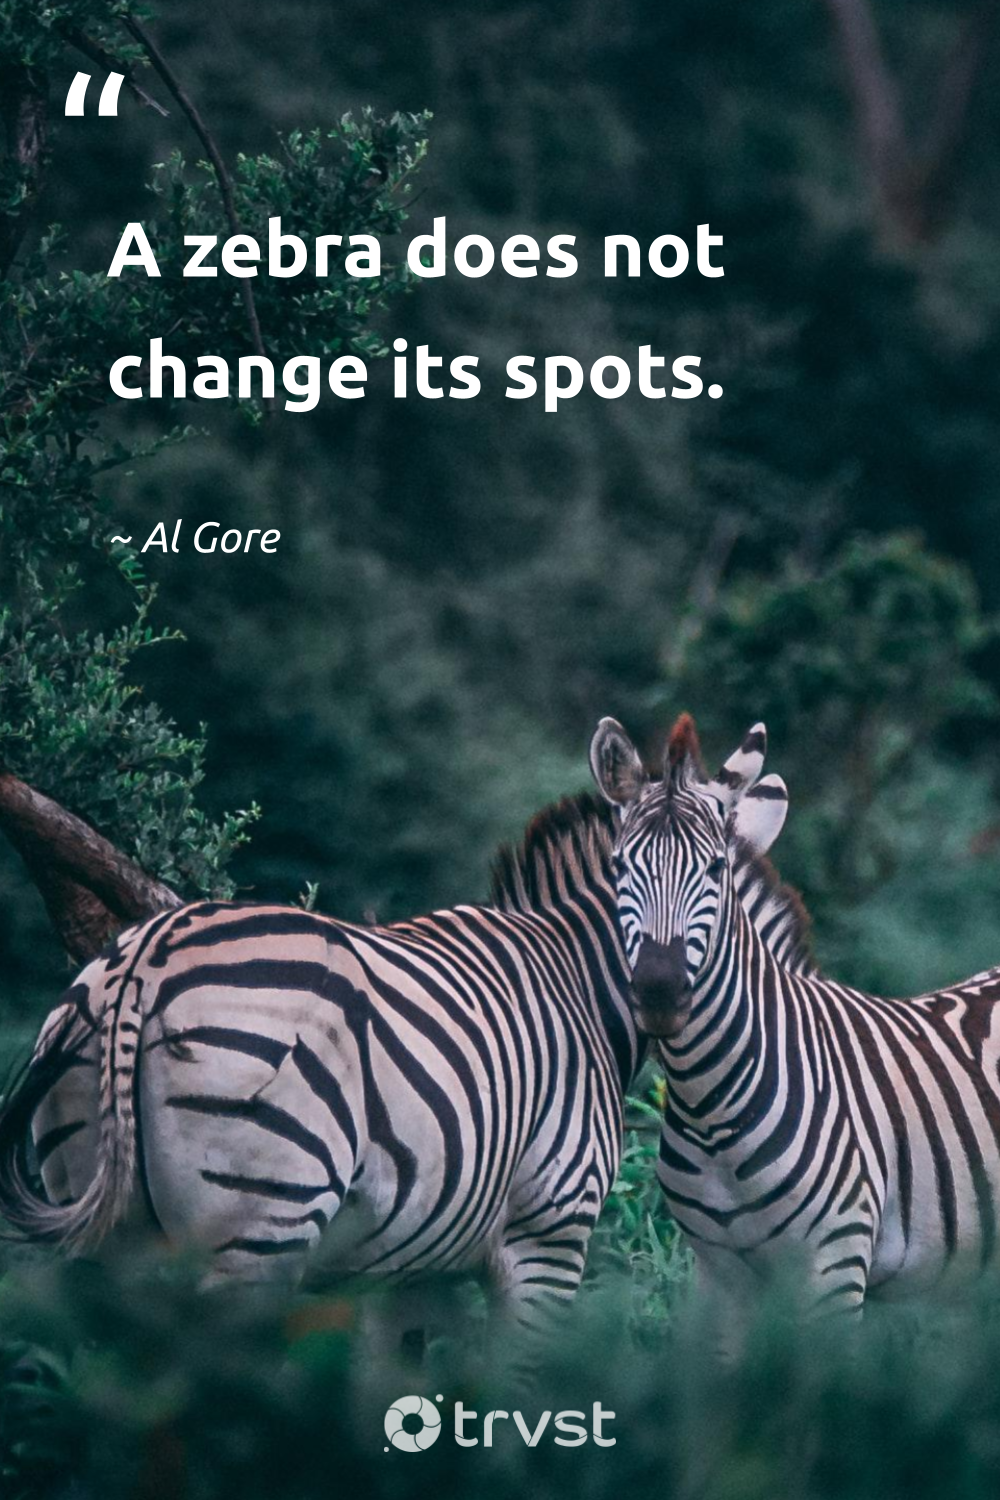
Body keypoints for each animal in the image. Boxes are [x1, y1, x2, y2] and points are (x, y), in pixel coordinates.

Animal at [0, 779, 808, 1327]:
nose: (663, 991)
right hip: (258, 1226)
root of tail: (147, 954)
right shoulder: (549, 1234)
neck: (578, 979)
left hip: (104, 1220)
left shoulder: (414, 1264)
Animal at [591, 709, 1000, 1325]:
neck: (713, 1112)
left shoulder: (835, 1265)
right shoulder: (719, 1276)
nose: (660, 994)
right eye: (619, 865)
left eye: (716, 868)